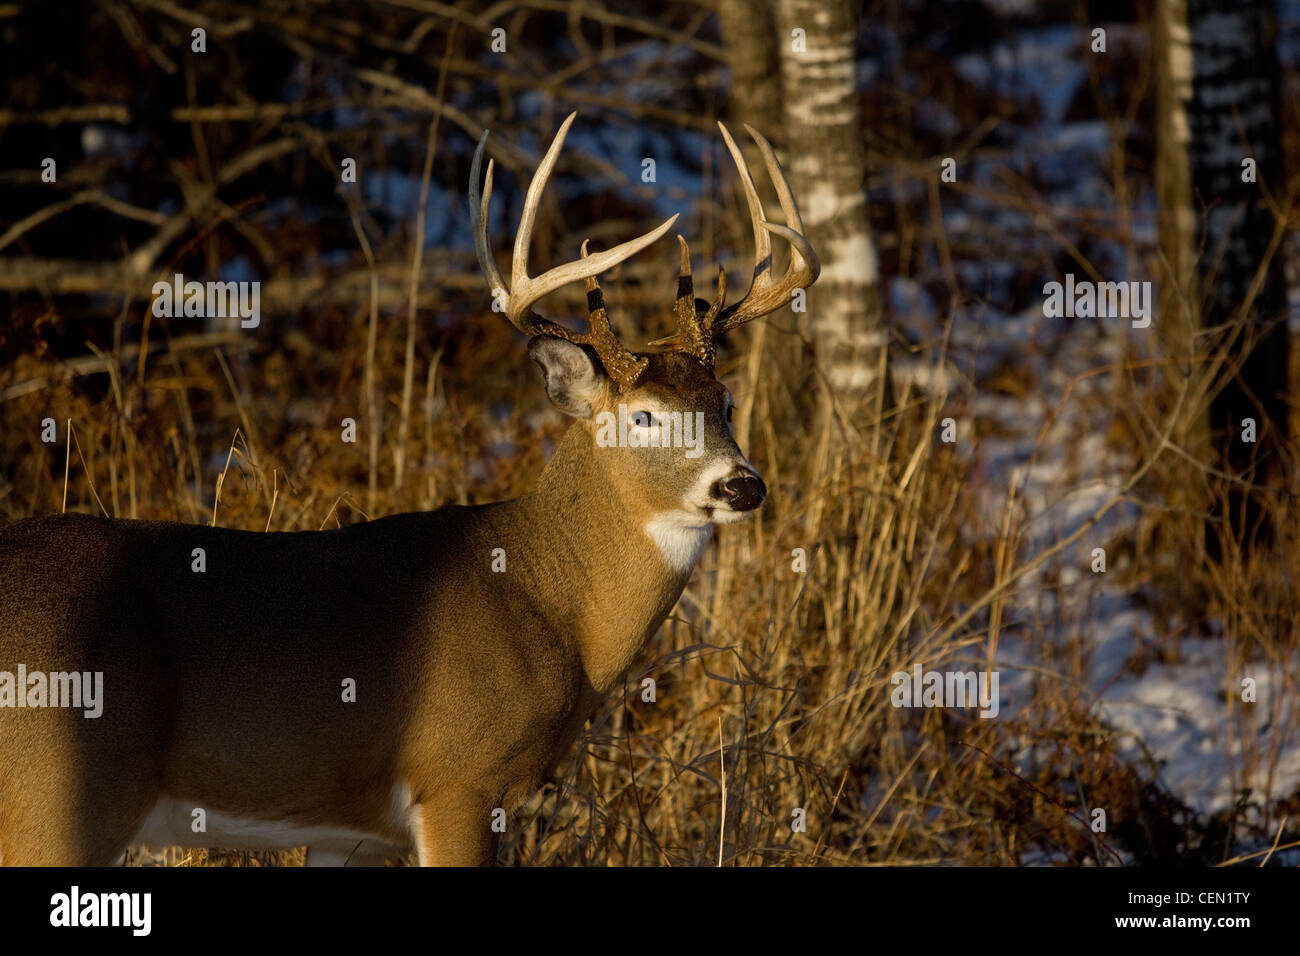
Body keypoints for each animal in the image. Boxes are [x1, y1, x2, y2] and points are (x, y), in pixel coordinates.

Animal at [0, 113, 818, 866]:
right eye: (643, 415)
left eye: (727, 404)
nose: (743, 485)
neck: (551, 606)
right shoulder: (460, 781)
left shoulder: (352, 832)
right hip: (56, 797)